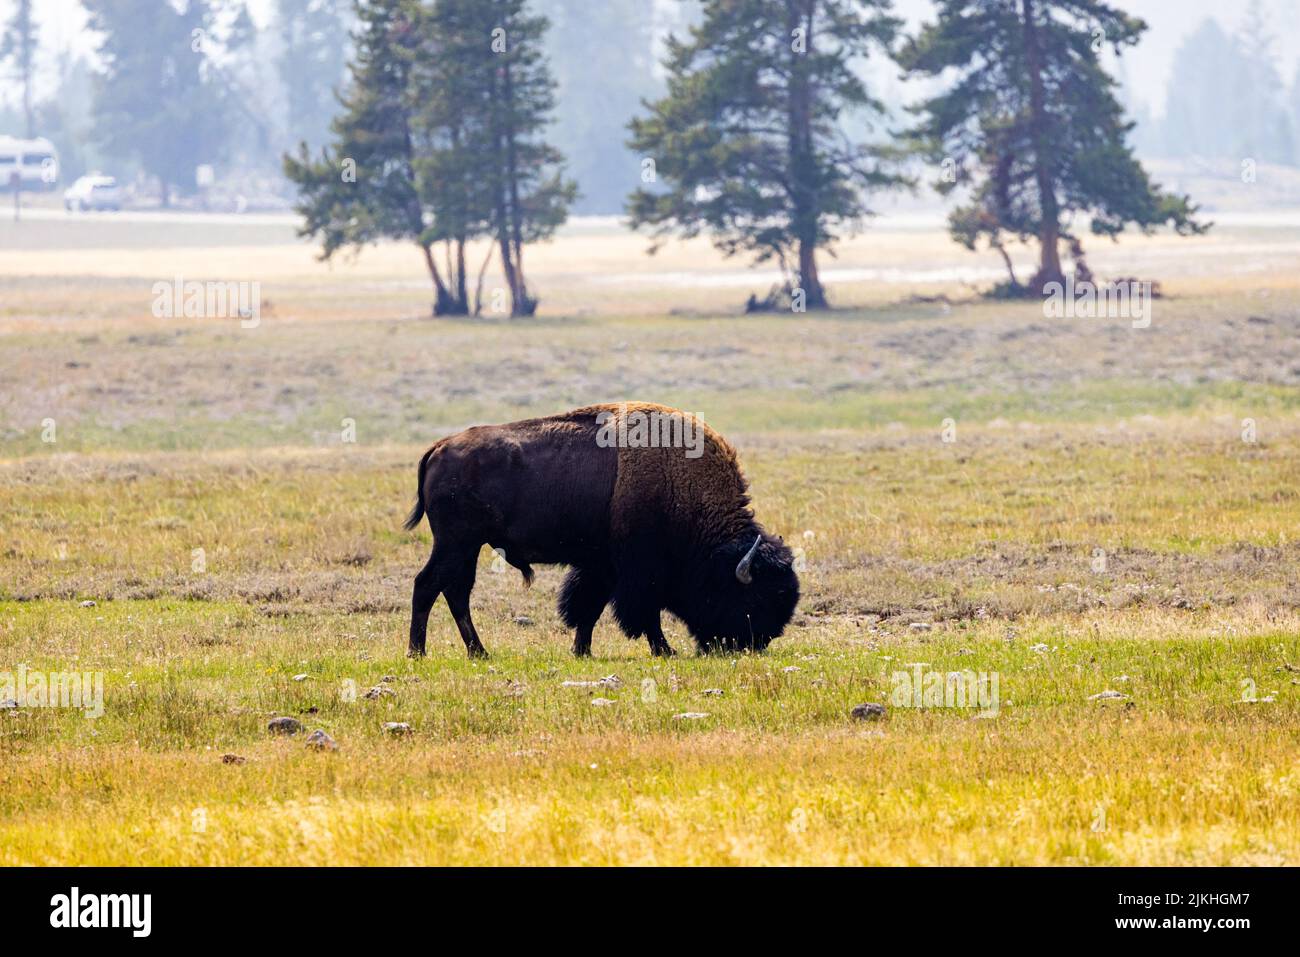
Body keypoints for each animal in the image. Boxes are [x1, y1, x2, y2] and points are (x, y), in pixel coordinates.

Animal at [403, 402, 799, 658]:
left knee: (455, 591)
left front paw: (582, 650)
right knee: (430, 585)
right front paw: (665, 650)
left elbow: (588, 607)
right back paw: (419, 652)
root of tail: (440, 447)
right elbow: (642, 612)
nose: (756, 643)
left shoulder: (601, 566)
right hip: (457, 543)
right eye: (756, 597)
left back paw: (477, 652)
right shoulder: (638, 572)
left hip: (467, 547)